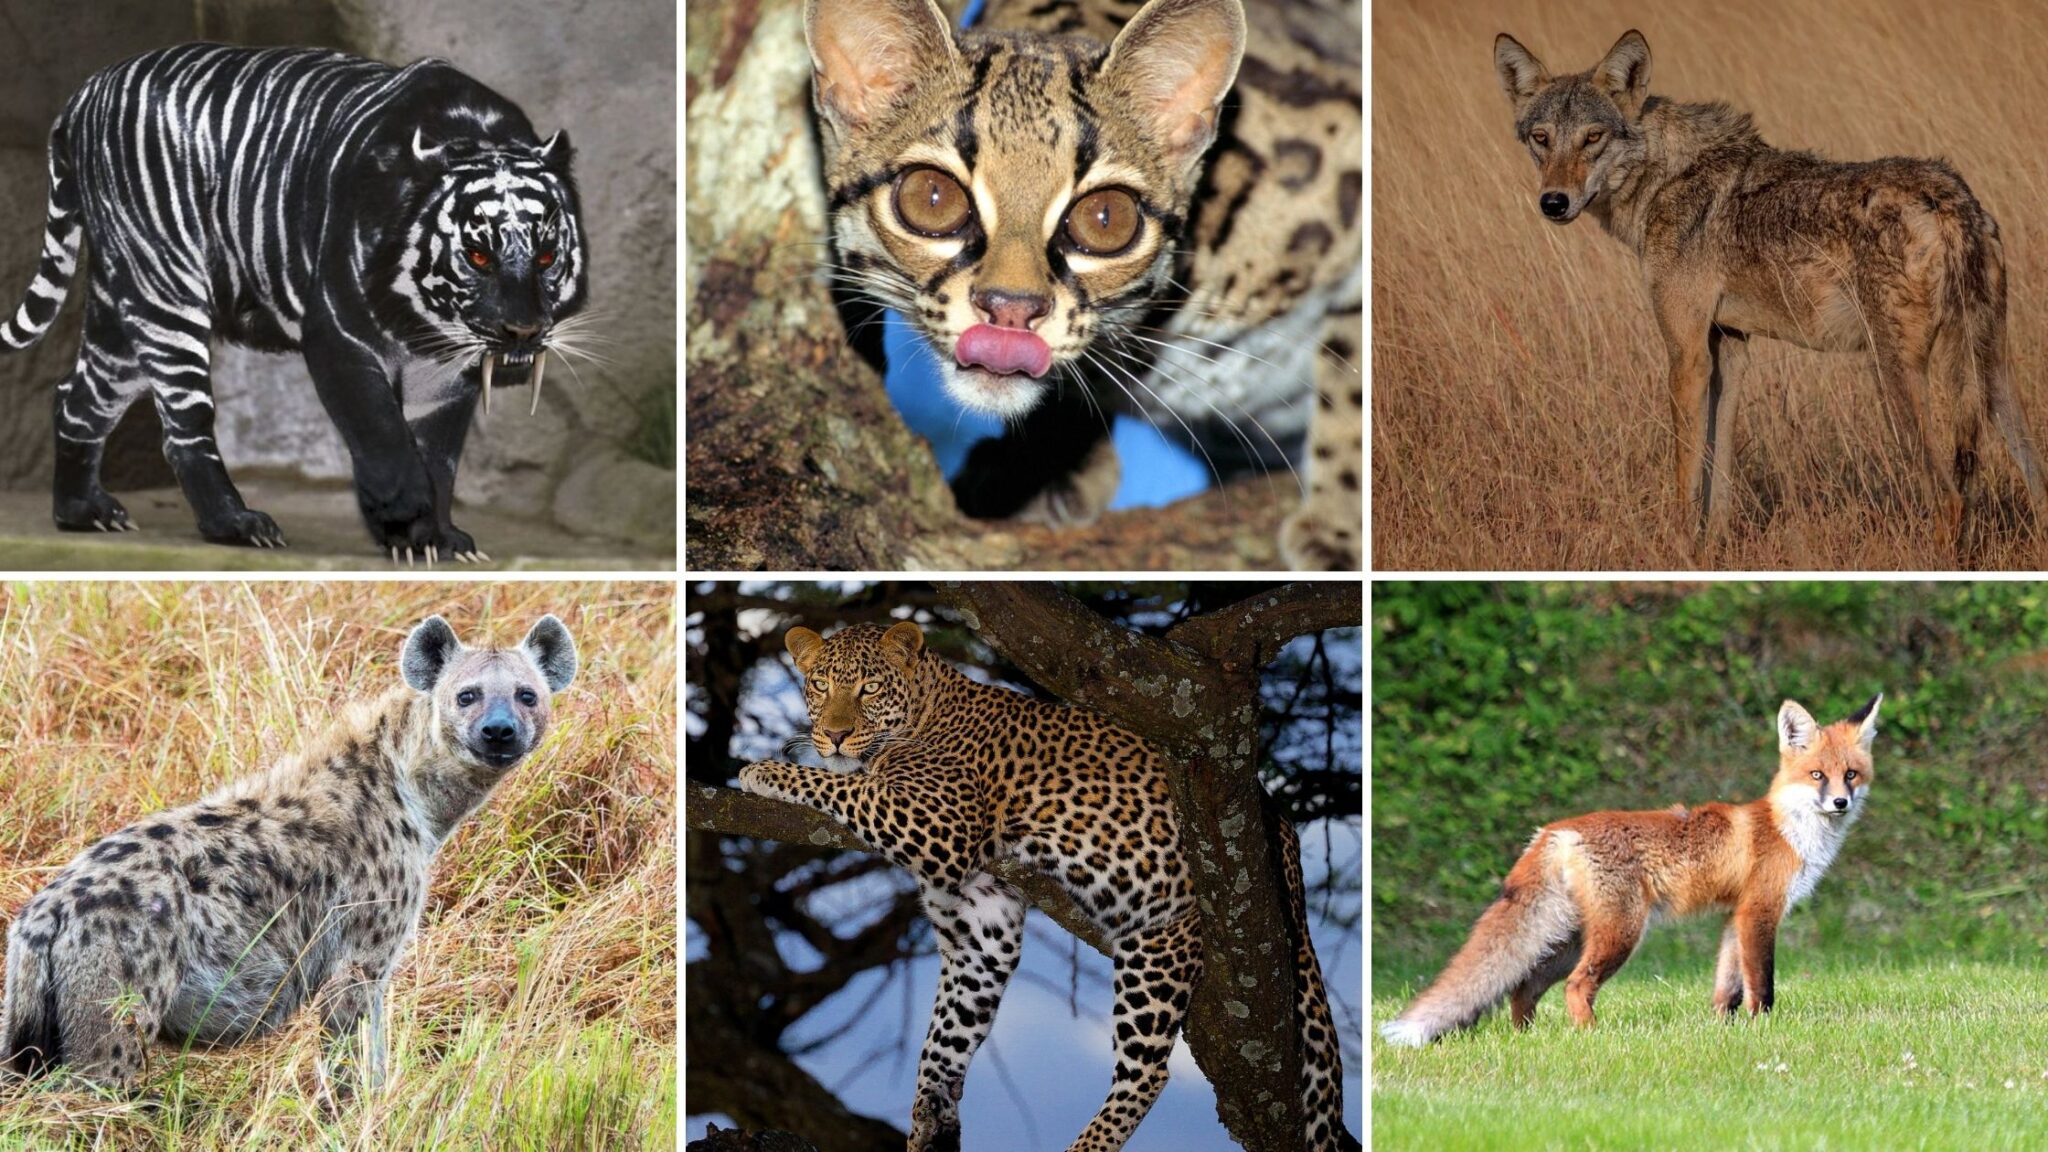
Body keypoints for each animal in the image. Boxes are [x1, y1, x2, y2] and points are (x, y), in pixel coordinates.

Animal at [0, 43, 589, 561]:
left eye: (546, 254)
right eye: (479, 255)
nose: (522, 331)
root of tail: (83, 94)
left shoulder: (447, 371)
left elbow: (438, 457)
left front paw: (438, 538)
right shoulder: (339, 336)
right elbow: (383, 435)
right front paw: (404, 521)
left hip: (120, 311)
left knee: (79, 397)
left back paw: (81, 513)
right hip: (165, 290)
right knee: (184, 422)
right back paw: (235, 524)